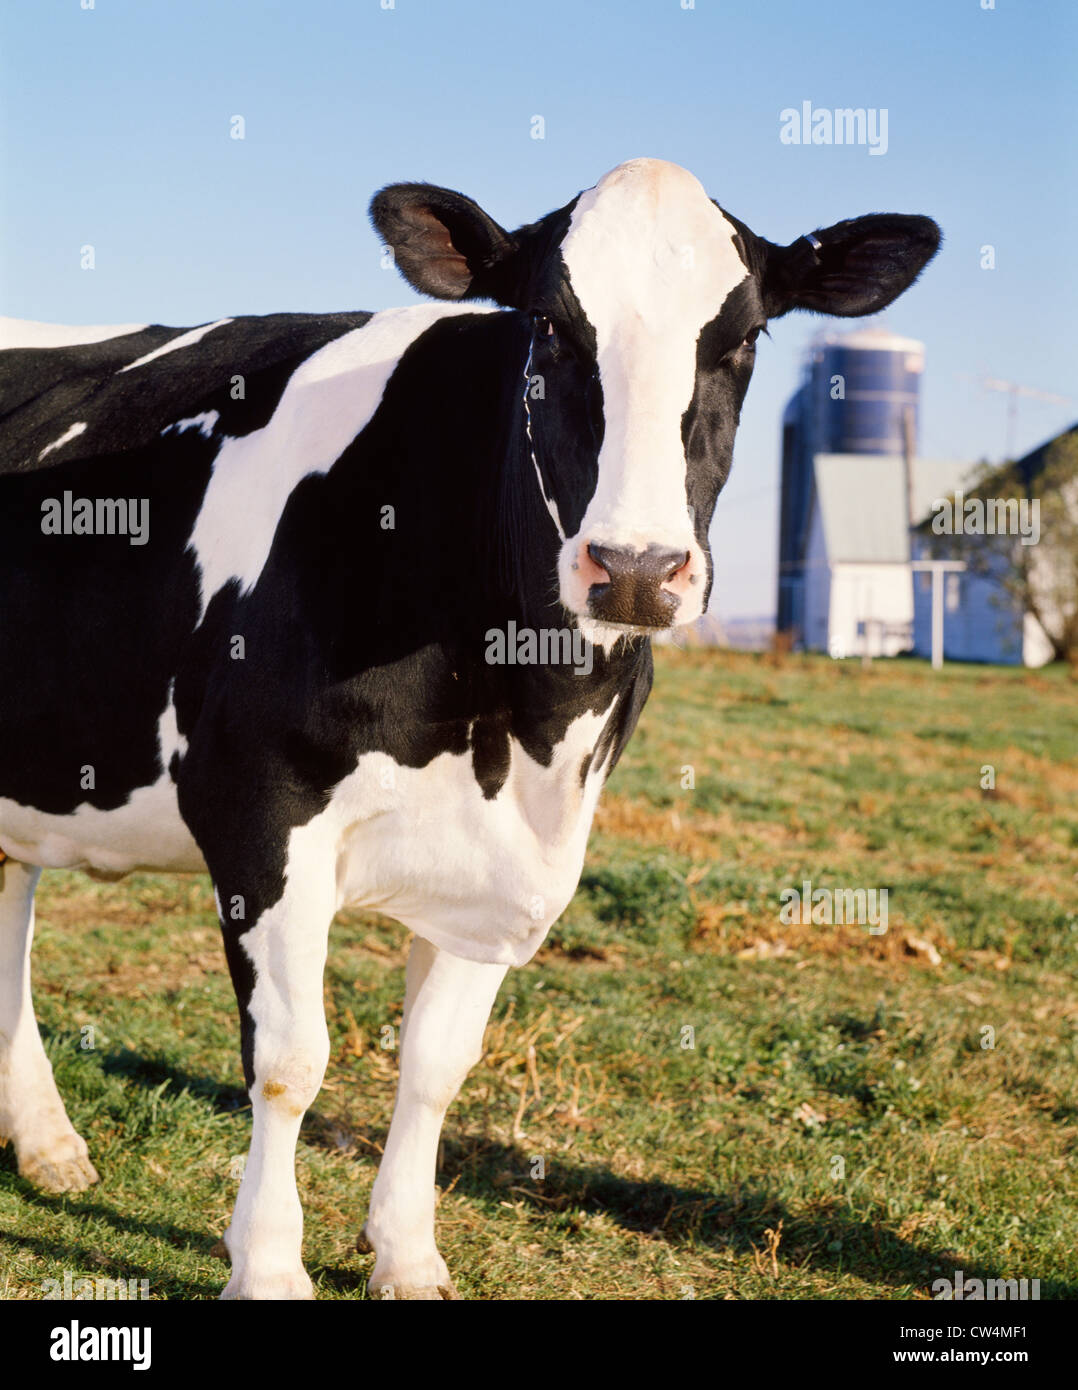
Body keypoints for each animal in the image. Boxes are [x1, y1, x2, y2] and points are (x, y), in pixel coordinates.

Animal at [0, 158, 939, 1299]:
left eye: (746, 336)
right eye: (549, 326)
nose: (635, 568)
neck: (516, 702)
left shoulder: (518, 852)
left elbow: (436, 1064)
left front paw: (407, 1253)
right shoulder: (260, 810)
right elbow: (289, 1062)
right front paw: (267, 1265)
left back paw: (46, 1143)